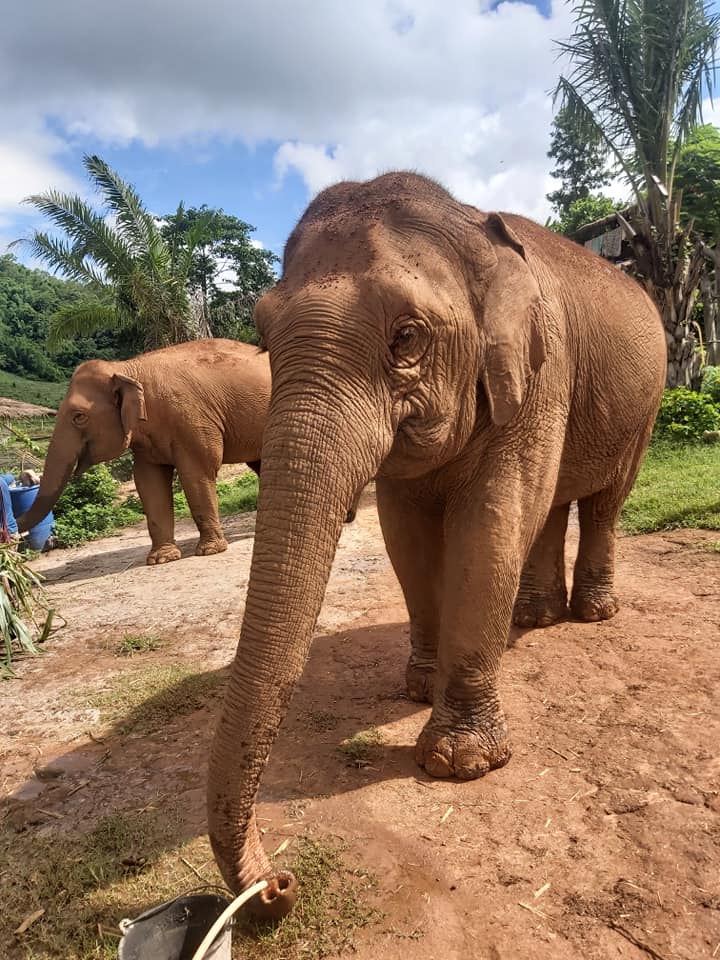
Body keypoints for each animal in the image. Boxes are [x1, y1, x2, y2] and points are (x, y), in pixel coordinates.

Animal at [18, 339, 270, 564]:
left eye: (79, 417)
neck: (125, 367)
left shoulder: (192, 420)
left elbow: (196, 473)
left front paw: (210, 551)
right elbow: (148, 481)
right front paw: (162, 559)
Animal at [205, 172, 666, 918]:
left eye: (407, 336)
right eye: (264, 335)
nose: (279, 882)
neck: (468, 222)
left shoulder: (538, 373)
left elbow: (491, 521)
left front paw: (459, 764)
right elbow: (406, 531)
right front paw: (418, 688)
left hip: (644, 408)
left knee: (603, 501)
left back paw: (593, 614)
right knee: (552, 504)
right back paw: (535, 619)